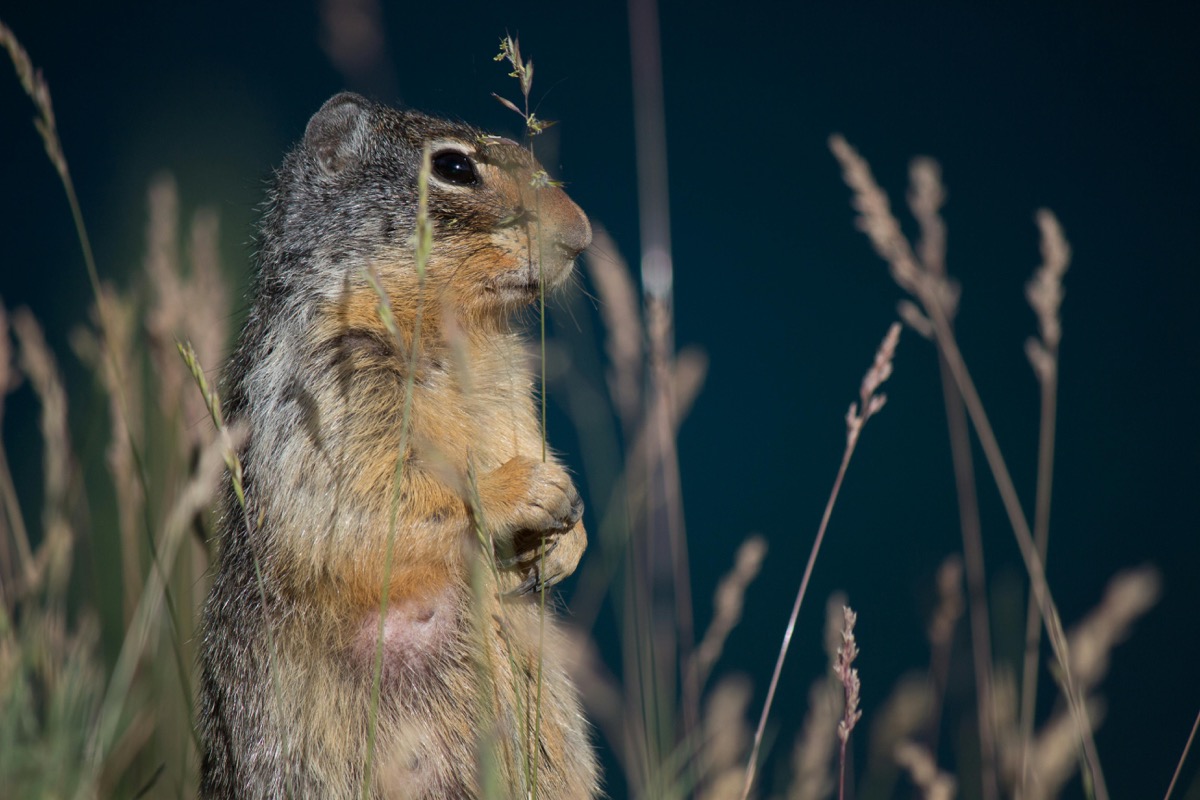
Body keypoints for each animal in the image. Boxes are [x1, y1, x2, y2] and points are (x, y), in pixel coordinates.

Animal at [197, 92, 597, 799]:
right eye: (455, 167)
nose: (582, 235)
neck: (454, 331)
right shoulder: (327, 379)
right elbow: (364, 497)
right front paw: (526, 491)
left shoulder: (510, 388)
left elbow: (522, 437)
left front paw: (567, 538)